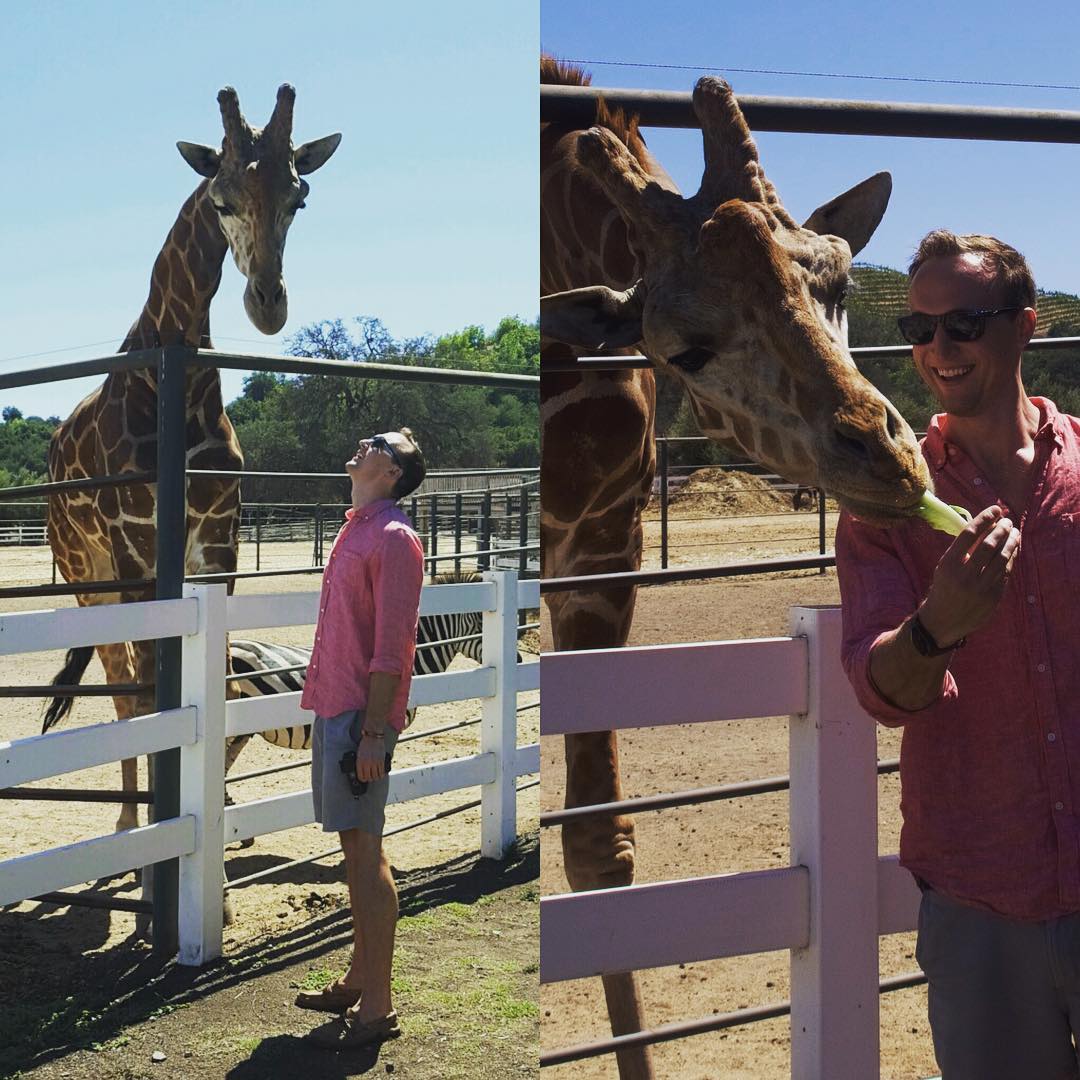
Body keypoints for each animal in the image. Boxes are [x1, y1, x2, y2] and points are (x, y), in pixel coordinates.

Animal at [43, 84, 340, 832]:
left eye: (298, 197)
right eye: (221, 199)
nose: (267, 304)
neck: (178, 386)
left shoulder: (217, 544)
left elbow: (214, 674)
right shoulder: (135, 547)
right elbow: (152, 690)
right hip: (86, 572)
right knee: (122, 686)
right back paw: (128, 820)